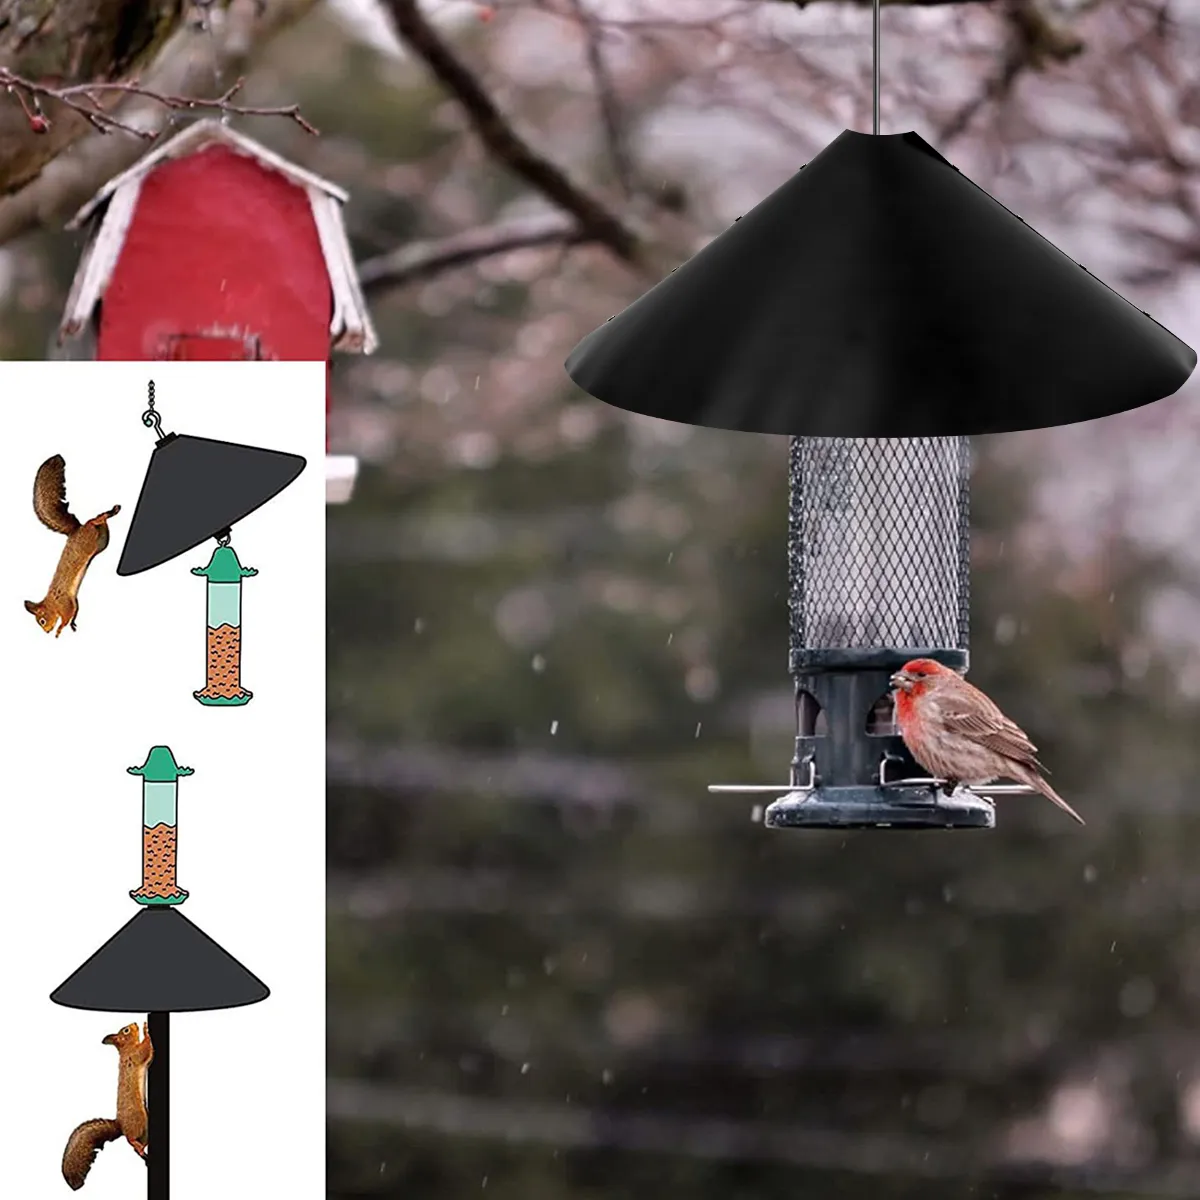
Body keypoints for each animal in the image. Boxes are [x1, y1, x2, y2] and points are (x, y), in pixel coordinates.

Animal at [25, 454, 120, 637]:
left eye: (42, 620)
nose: (46, 632)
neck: (52, 601)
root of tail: (76, 530)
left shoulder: (64, 602)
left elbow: (67, 615)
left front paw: (59, 630)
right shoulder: (73, 600)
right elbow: (75, 610)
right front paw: (72, 625)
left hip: (89, 538)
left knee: (93, 521)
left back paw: (106, 513)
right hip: (102, 540)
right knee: (100, 524)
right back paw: (110, 513)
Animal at [61, 1022, 152, 1190]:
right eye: (126, 1030)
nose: (134, 1023)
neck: (126, 1049)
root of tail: (120, 1126)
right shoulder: (136, 1055)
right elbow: (147, 1049)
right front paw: (146, 1030)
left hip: (145, 1127)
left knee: (139, 1144)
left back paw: (142, 1150)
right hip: (139, 1119)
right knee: (130, 1139)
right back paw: (135, 1143)